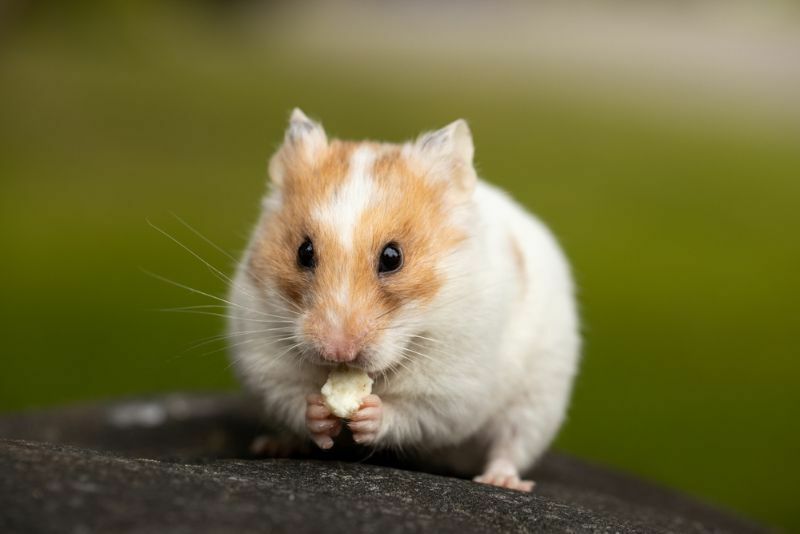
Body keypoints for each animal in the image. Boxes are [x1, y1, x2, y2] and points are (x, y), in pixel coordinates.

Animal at [228, 109, 580, 494]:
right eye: (303, 252)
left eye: (392, 257)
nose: (338, 352)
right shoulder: (265, 360)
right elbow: (293, 398)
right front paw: (319, 413)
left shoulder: (452, 389)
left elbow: (411, 414)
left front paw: (369, 413)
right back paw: (274, 445)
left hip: (538, 399)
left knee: (511, 444)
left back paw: (502, 481)